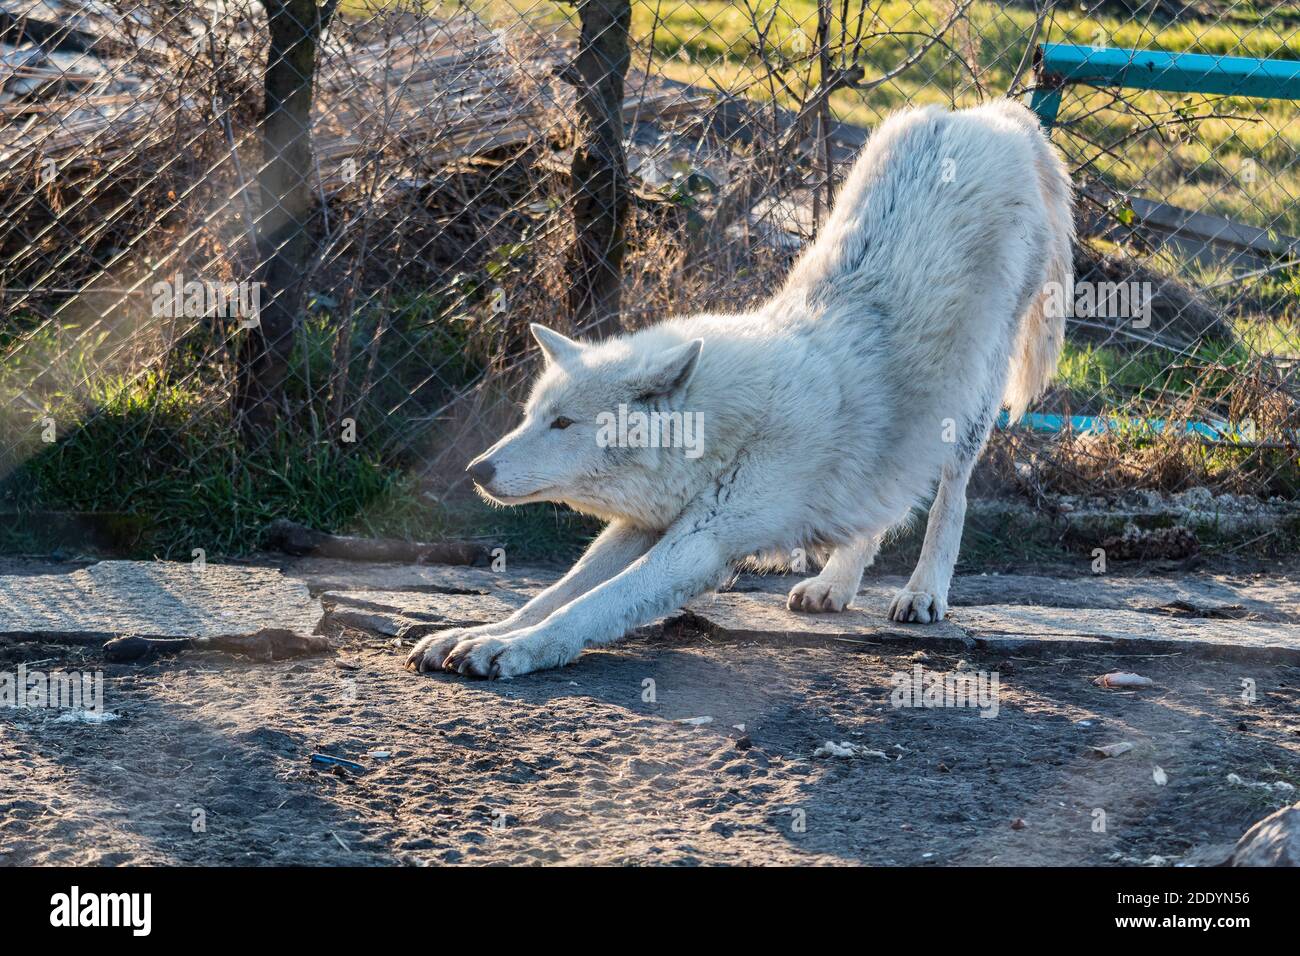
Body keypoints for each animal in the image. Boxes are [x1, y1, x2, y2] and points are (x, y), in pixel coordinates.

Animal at [406, 99, 1074, 679]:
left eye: (563, 424)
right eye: (531, 416)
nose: (477, 470)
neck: (723, 432)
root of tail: (989, 114)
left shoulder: (701, 544)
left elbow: (585, 606)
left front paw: (508, 651)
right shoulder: (645, 526)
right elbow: (553, 593)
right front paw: (472, 633)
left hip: (971, 404)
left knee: (949, 497)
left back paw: (923, 594)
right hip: (890, 446)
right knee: (879, 508)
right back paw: (834, 586)